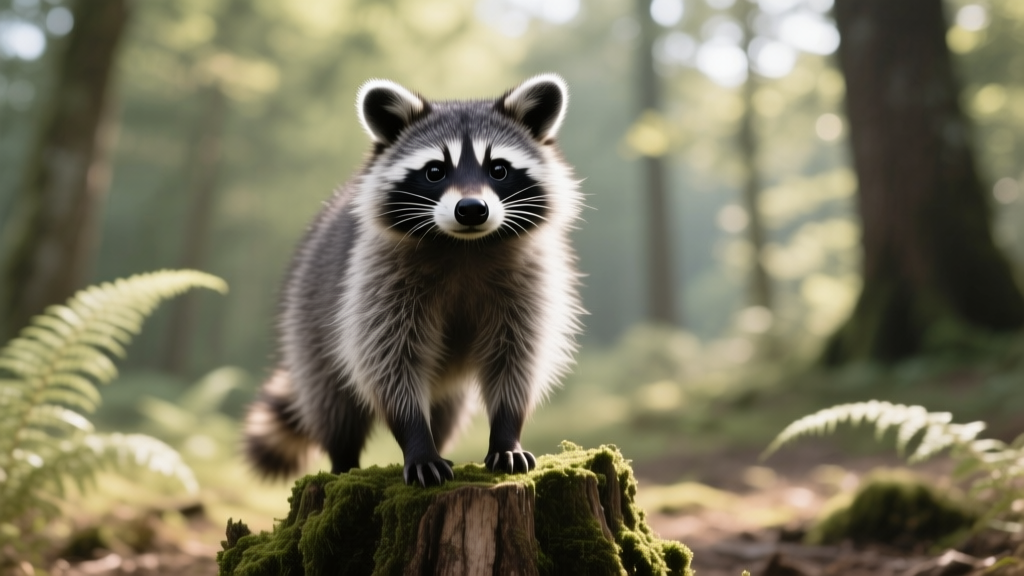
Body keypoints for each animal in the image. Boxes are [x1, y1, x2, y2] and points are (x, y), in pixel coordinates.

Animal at [243, 74, 583, 487]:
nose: (472, 210)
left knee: (448, 411)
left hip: (448, 384)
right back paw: (344, 460)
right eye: (435, 171)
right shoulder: (377, 281)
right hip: (310, 321)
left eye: (499, 169)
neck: (464, 246)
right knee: (333, 403)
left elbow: (517, 359)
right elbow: (389, 363)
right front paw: (417, 443)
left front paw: (506, 434)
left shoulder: (531, 279)